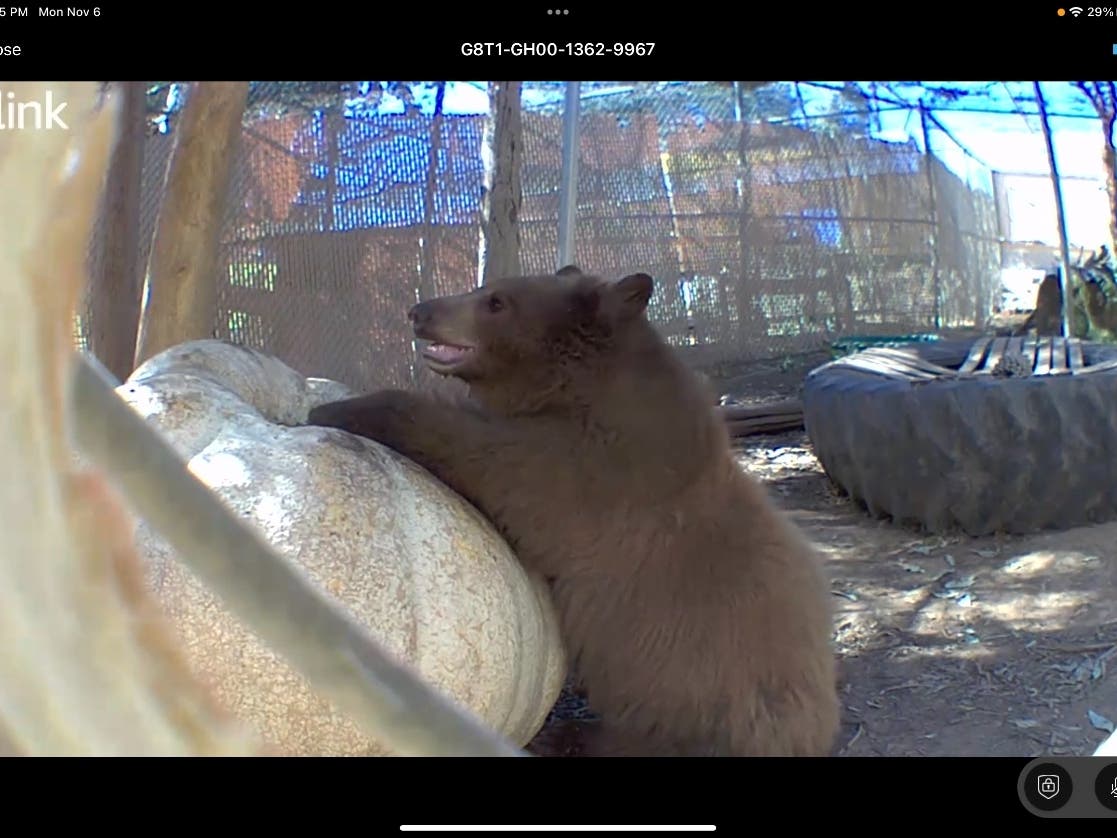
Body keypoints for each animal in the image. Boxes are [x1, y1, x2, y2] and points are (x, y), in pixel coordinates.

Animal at [307, 265, 840, 757]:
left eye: (496, 302)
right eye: (484, 290)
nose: (420, 311)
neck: (576, 388)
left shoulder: (598, 470)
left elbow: (490, 459)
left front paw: (339, 409)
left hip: (688, 717)